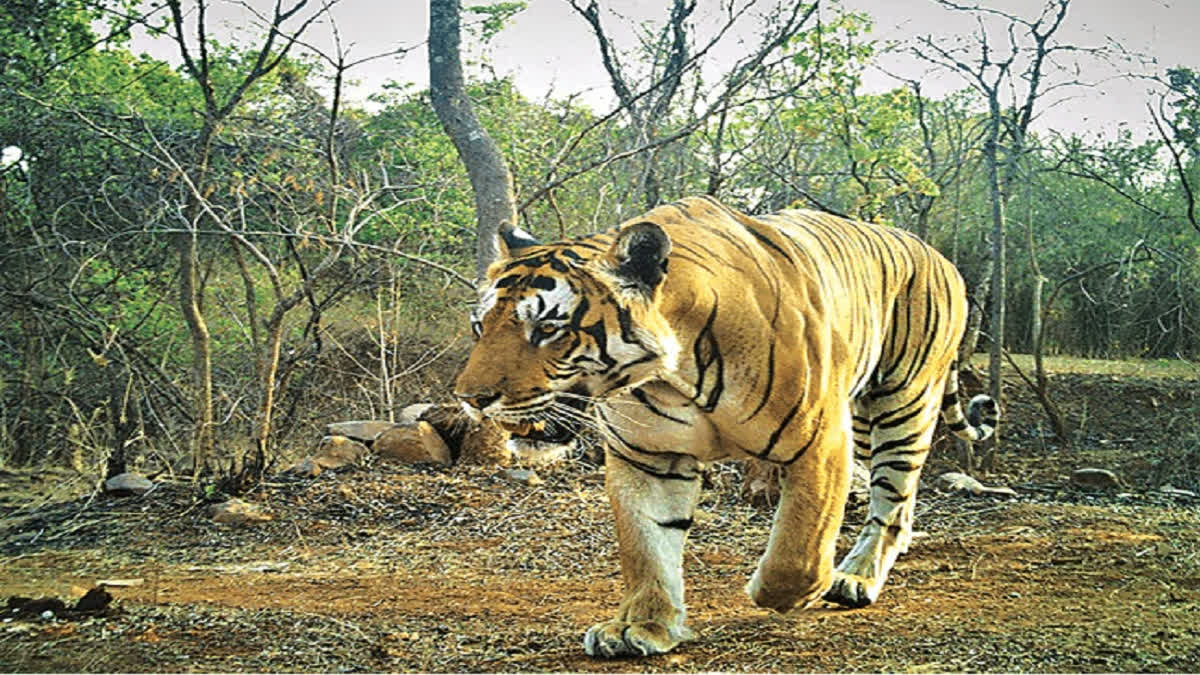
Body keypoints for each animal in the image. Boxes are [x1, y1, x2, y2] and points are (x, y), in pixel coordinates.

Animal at [453, 195, 998, 658]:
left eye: (548, 329)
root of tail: (939, 256)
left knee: (893, 499)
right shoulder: (647, 458)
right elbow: (647, 548)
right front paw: (640, 626)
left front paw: (787, 593)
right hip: (866, 422)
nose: (470, 399)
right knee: (901, 503)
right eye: (481, 327)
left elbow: (798, 546)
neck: (671, 377)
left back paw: (855, 579)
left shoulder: (821, 439)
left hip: (902, 404)